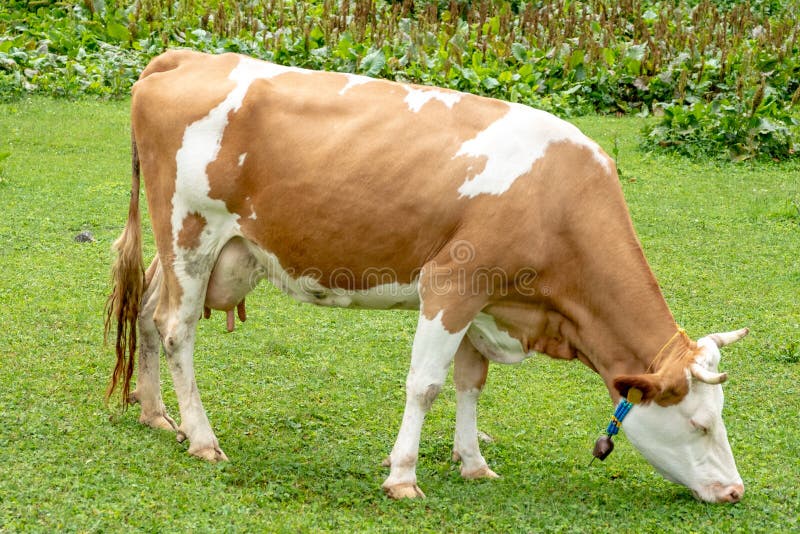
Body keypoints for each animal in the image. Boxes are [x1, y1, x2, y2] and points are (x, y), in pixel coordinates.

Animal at [106, 50, 747, 503]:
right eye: (699, 425)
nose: (735, 490)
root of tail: (187, 57)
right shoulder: (453, 283)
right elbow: (426, 384)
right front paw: (403, 476)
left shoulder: (485, 301)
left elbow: (470, 381)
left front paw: (474, 463)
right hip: (190, 232)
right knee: (176, 329)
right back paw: (203, 438)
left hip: (190, 247)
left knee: (146, 311)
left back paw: (155, 414)